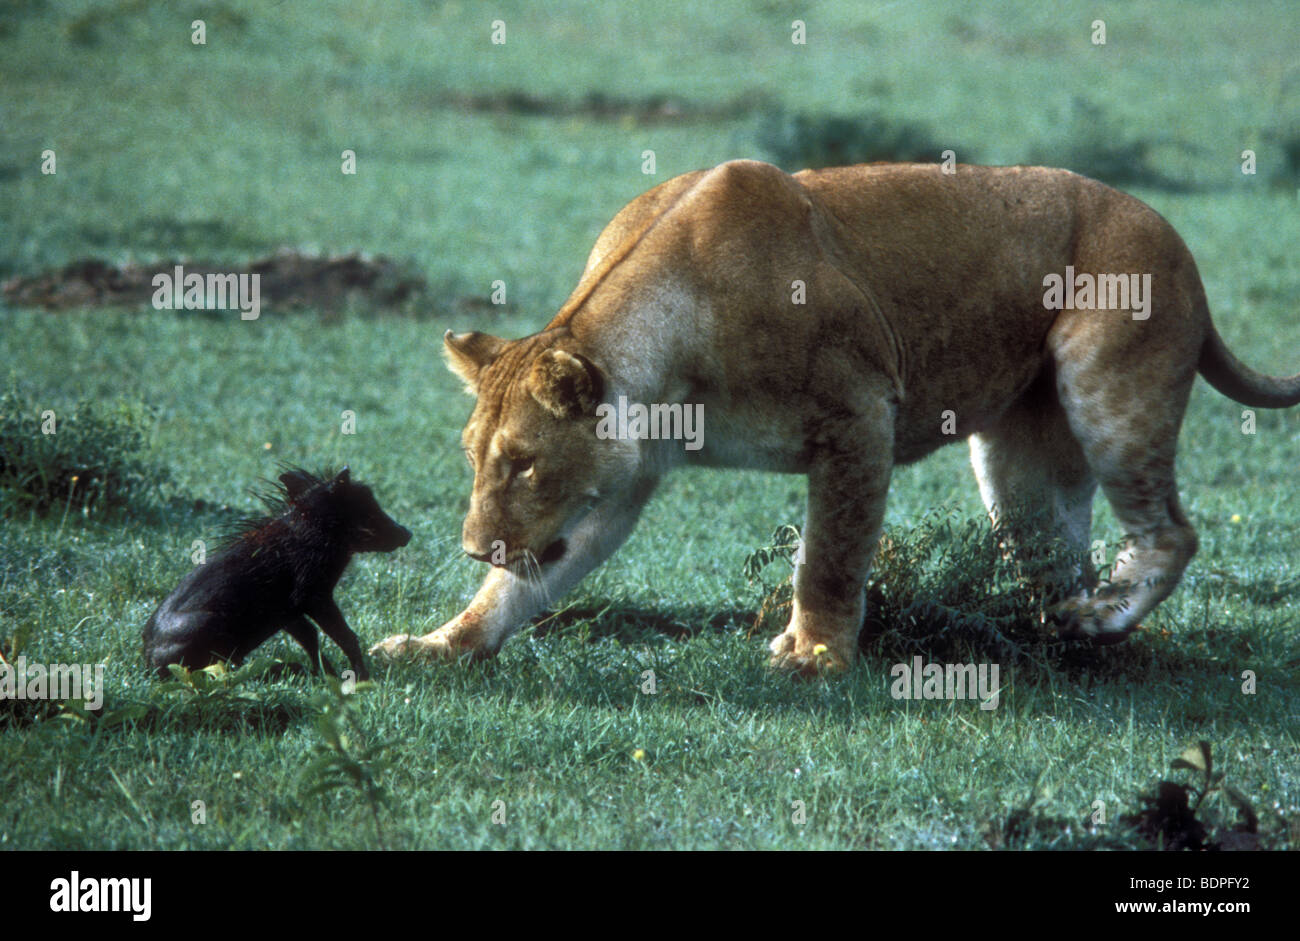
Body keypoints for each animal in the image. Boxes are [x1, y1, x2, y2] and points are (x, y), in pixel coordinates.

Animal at [371, 159, 1300, 675]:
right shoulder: (619, 486)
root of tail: (1175, 238)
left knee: (1171, 531)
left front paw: (815, 654)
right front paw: (441, 645)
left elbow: (830, 556)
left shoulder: (861, 416)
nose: (469, 545)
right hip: (1020, 463)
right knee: (1056, 556)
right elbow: (517, 590)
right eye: (473, 458)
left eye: (524, 461)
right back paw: (1060, 634)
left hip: (1112, 384)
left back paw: (1103, 616)